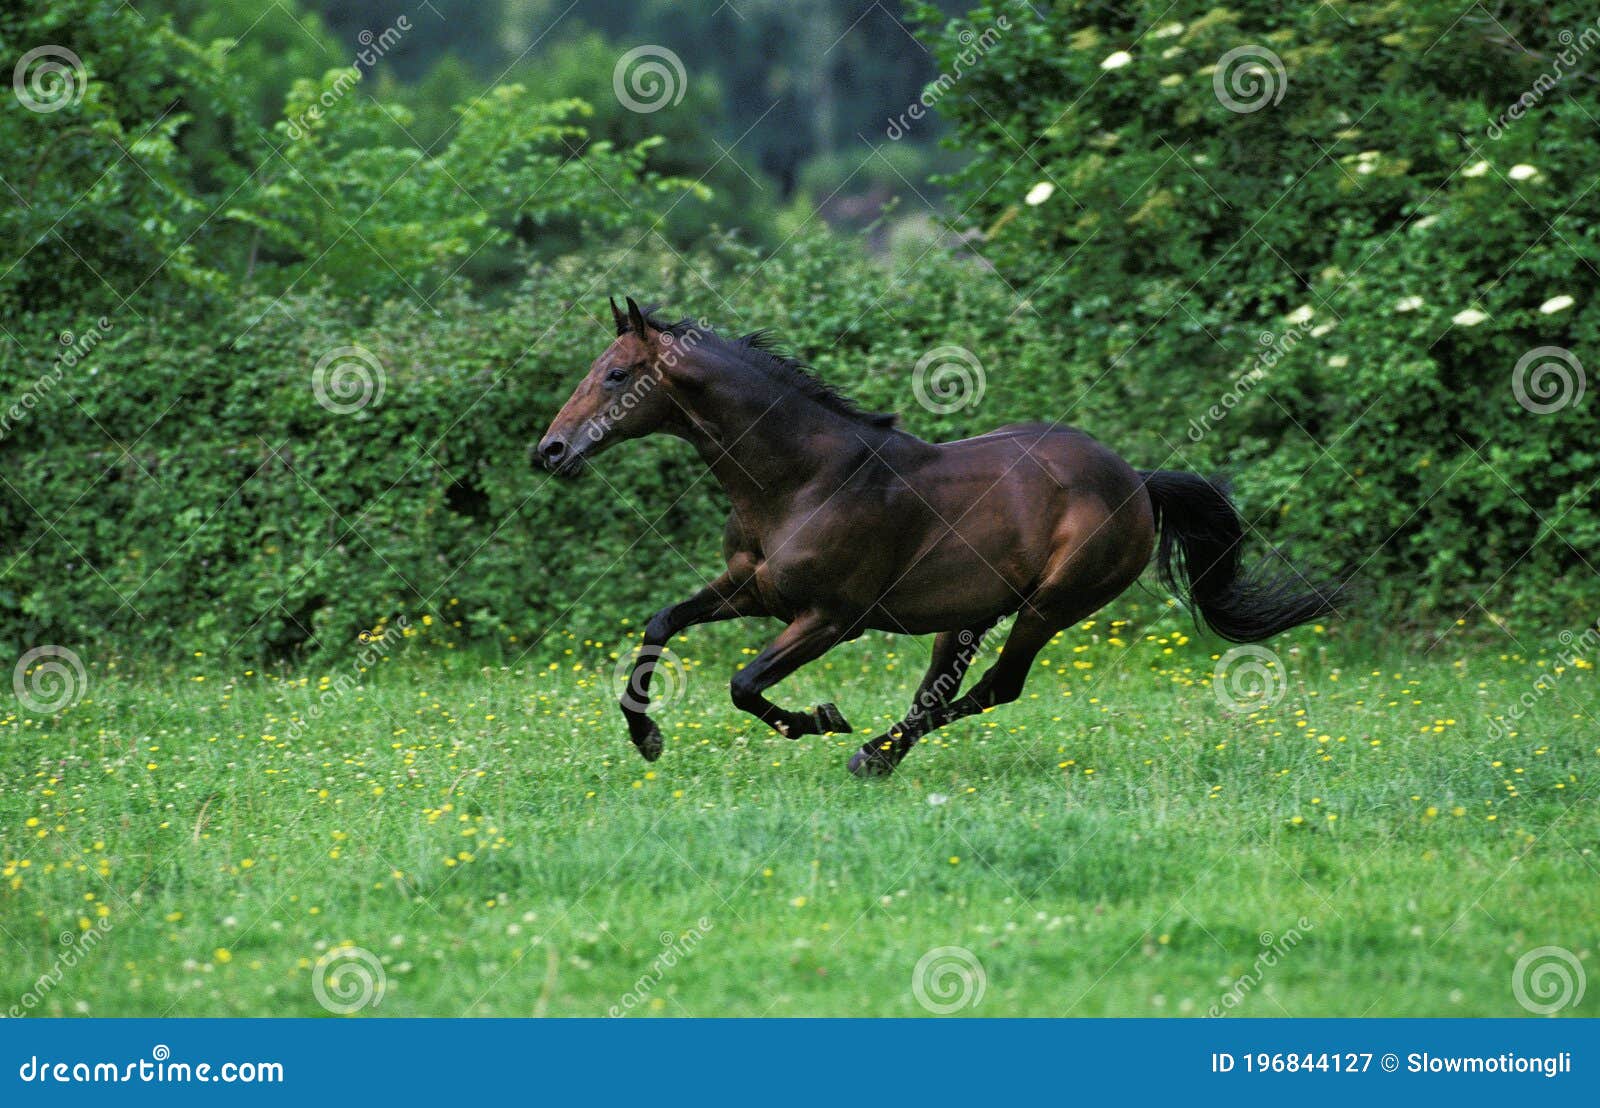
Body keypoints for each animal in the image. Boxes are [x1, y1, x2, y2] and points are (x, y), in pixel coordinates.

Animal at [537, 297, 1344, 777]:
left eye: (616, 375)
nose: (549, 451)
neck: (802, 480)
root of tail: (1138, 483)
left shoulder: (830, 618)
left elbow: (744, 684)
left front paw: (819, 720)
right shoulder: (751, 589)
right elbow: (660, 624)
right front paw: (647, 738)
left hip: (1051, 605)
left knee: (996, 687)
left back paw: (869, 753)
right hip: (968, 613)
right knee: (944, 689)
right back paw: (882, 756)